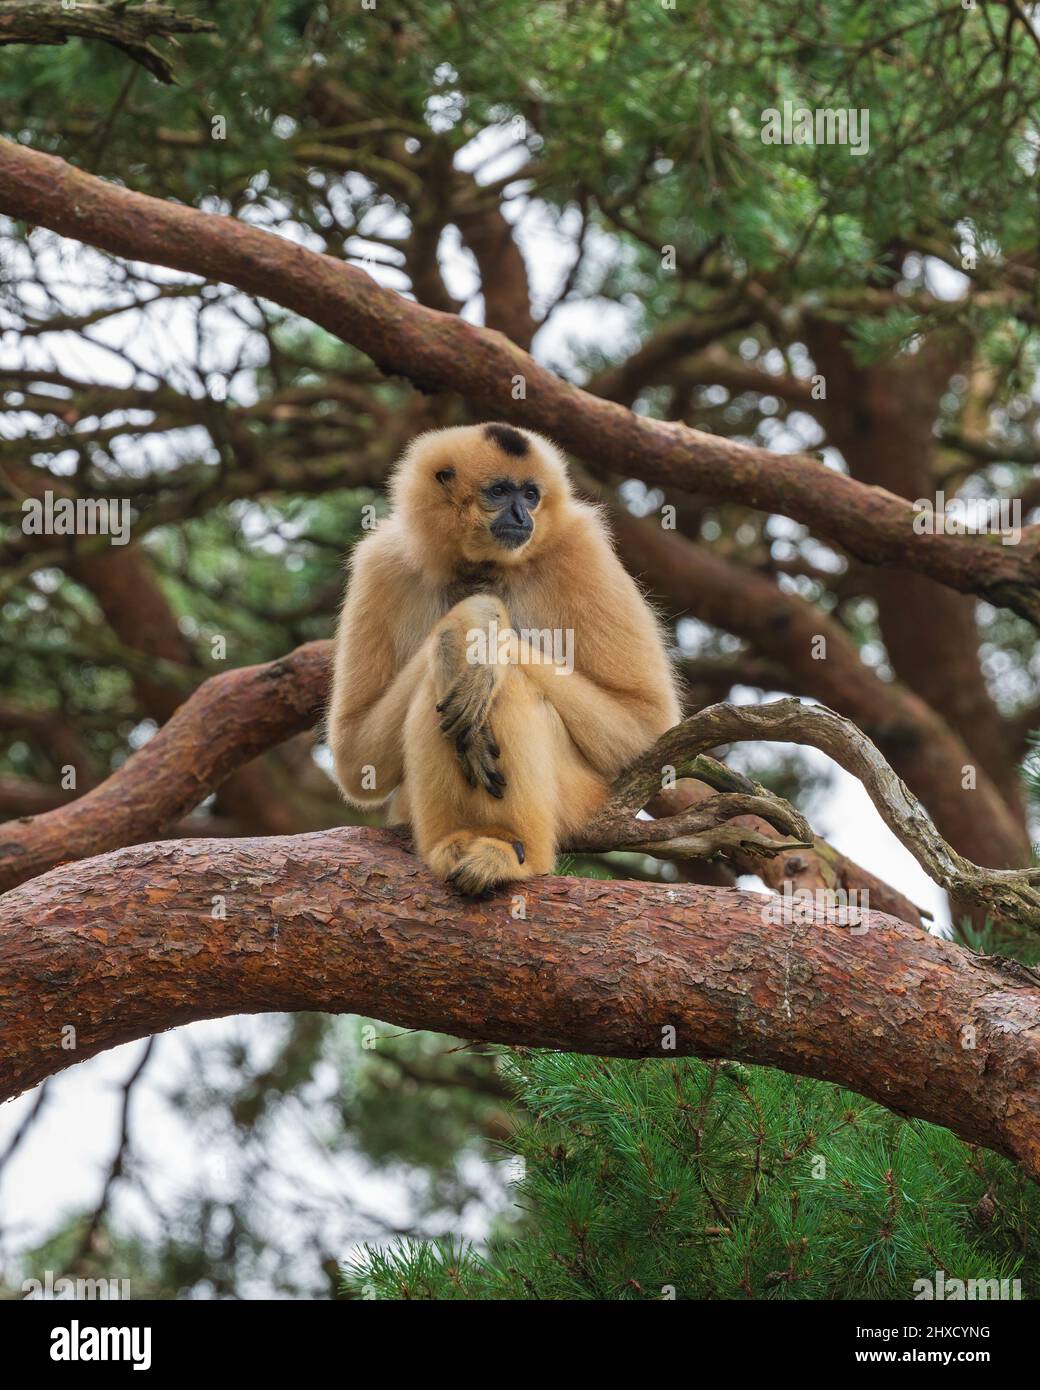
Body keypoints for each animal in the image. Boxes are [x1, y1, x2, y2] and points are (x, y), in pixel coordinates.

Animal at [328, 422, 681, 895]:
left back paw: (511, 850)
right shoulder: (380, 563)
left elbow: (643, 721)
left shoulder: (580, 550)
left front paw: (476, 626)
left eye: (530, 494)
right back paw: (457, 842)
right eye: (499, 491)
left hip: (581, 795)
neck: (481, 567)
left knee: (507, 682)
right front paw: (467, 628)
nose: (521, 517)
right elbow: (356, 756)